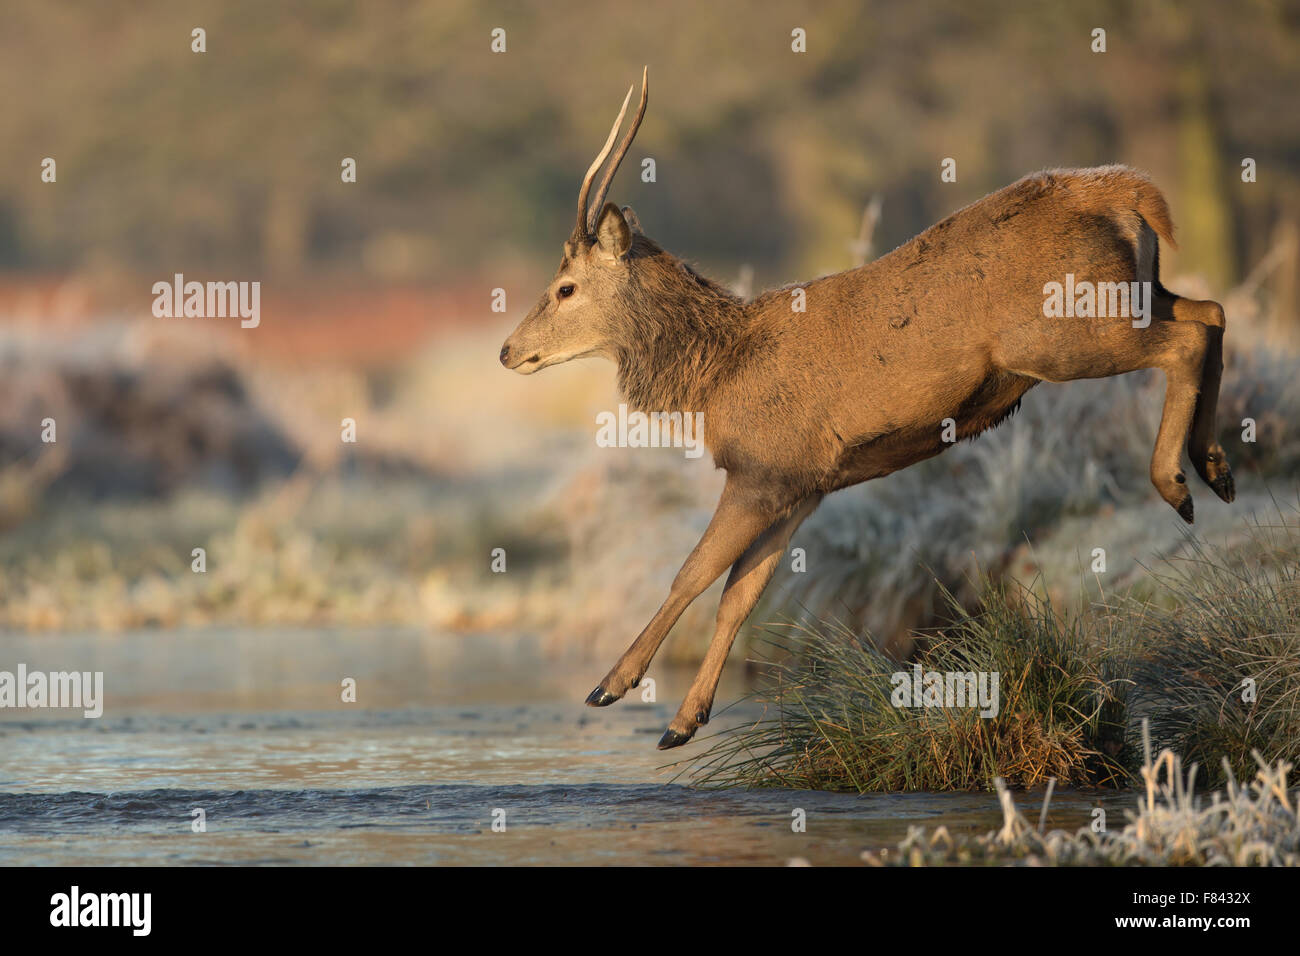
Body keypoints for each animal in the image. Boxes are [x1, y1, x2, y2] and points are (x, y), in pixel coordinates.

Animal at [499, 68, 1235, 749]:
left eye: (565, 288)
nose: (508, 350)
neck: (715, 378)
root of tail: (1131, 194)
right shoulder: (802, 485)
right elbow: (741, 595)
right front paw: (683, 722)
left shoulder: (762, 468)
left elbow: (692, 575)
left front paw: (612, 685)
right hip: (1133, 295)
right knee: (1211, 310)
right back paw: (1216, 468)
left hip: (1060, 333)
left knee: (1186, 338)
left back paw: (1177, 483)